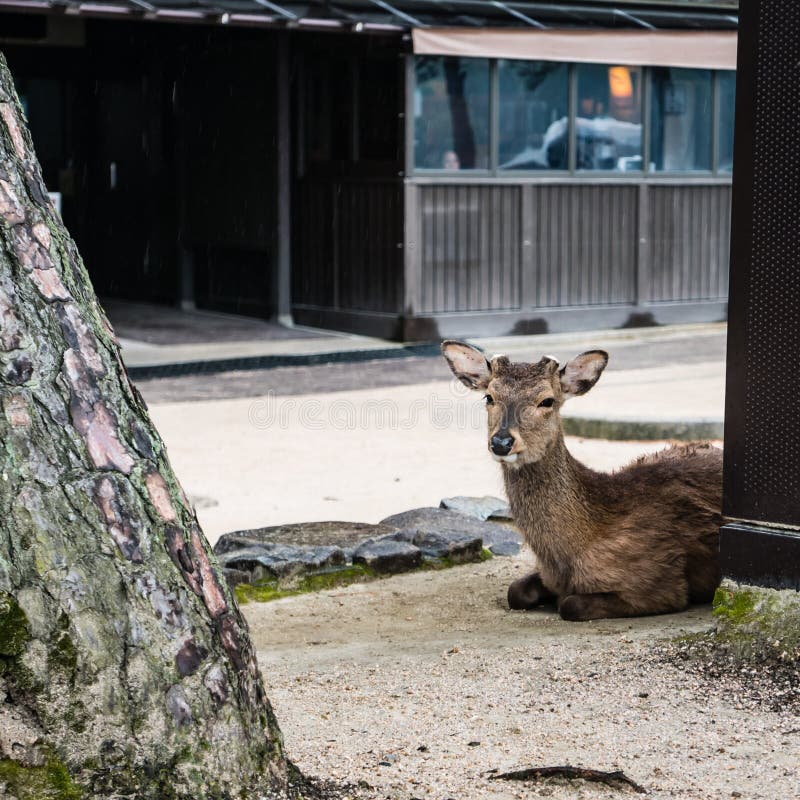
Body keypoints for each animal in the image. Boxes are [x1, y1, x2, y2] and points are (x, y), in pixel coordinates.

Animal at [442, 340, 723, 622]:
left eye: (547, 401)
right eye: (489, 397)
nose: (501, 442)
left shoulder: (660, 583)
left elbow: (570, 605)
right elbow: (515, 591)